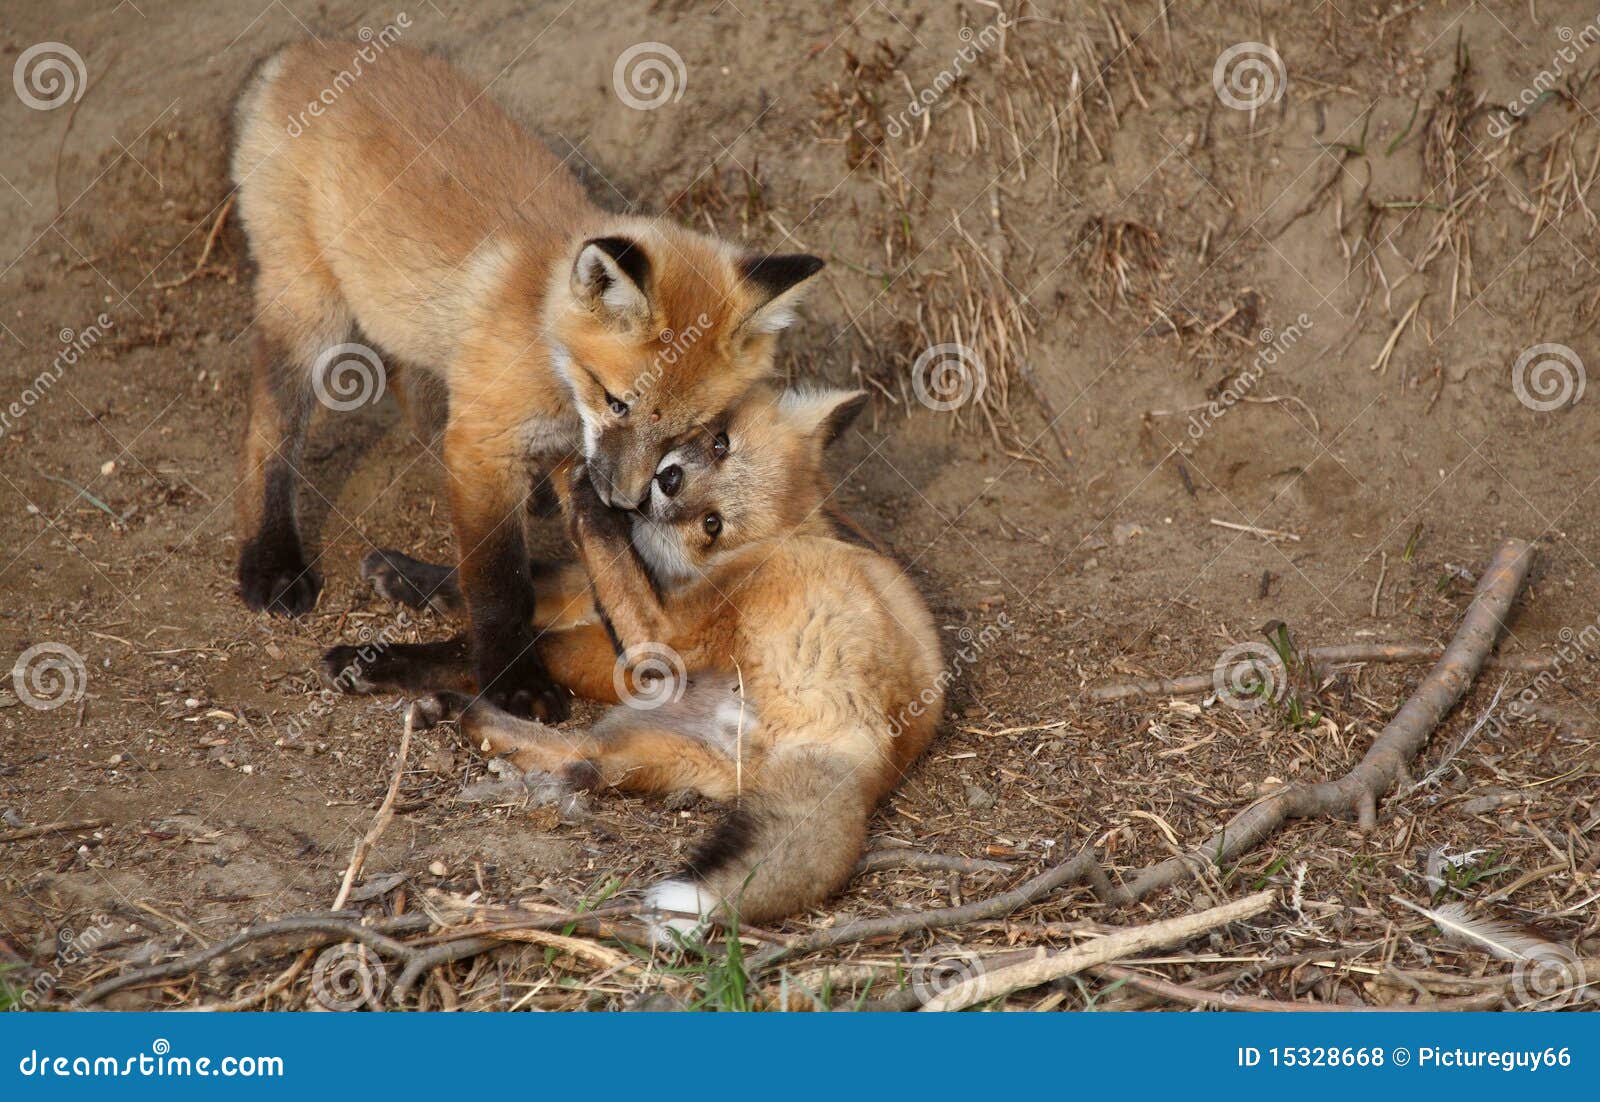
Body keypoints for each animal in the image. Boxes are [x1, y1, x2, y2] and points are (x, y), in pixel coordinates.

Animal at [229, 41, 824, 721]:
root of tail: (310, 50)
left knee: (413, 377)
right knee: (271, 426)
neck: (550, 356)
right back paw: (272, 560)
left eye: (692, 431)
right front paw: (515, 680)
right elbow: (499, 582)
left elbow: (614, 573)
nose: (628, 500)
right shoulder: (488, 451)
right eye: (618, 402)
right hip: (310, 310)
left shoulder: (577, 463)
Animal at [347, 385, 944, 927]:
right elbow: (515, 583)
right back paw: (457, 712)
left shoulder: (626, 632)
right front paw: (406, 576)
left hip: (671, 652)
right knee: (579, 758)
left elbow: (496, 639)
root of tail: (873, 757)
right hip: (645, 739)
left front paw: (375, 662)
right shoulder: (582, 590)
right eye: (721, 444)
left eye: (712, 523)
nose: (666, 479)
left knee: (617, 662)